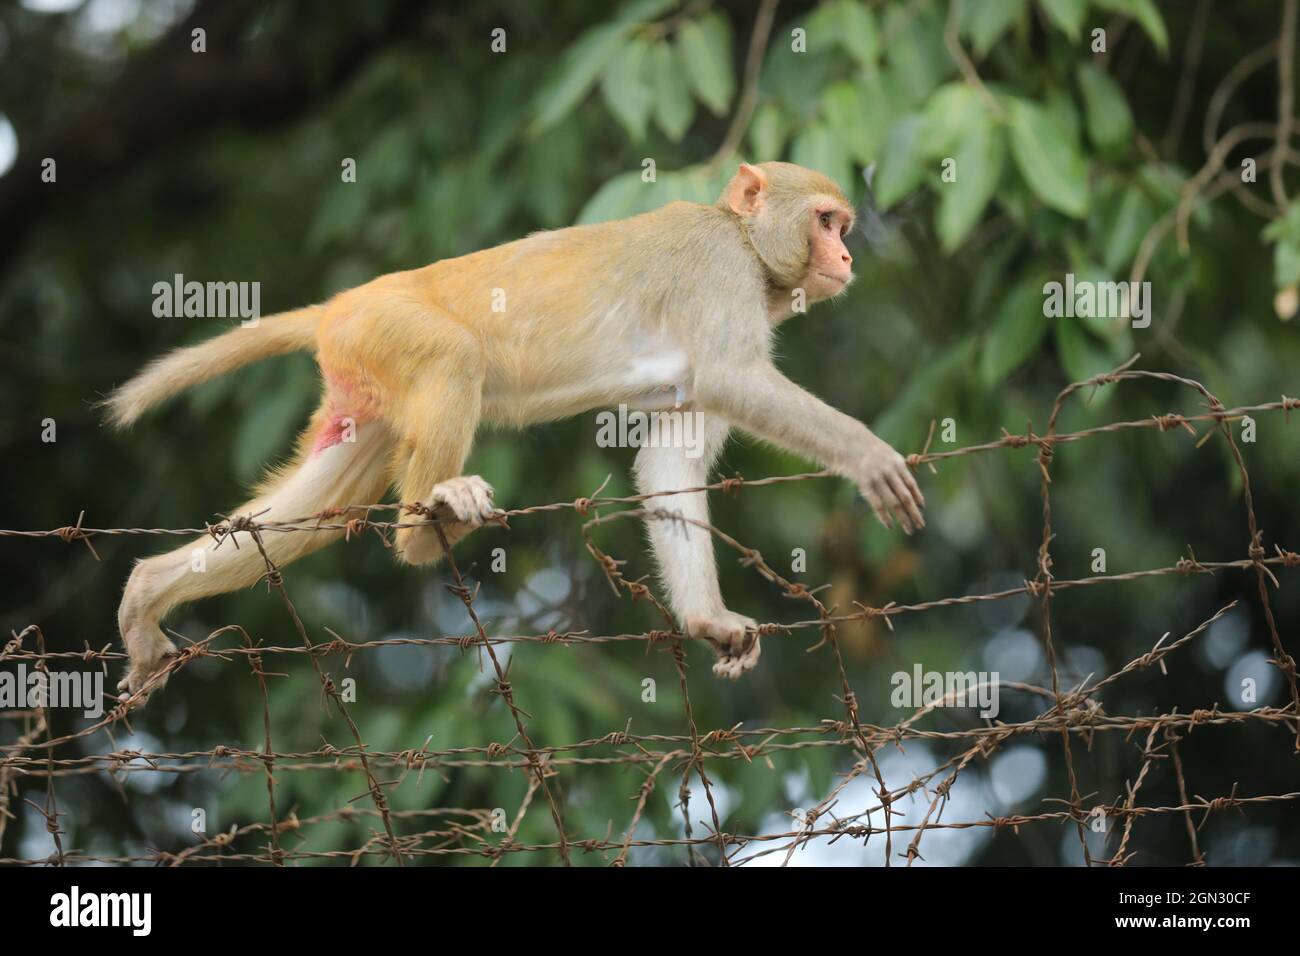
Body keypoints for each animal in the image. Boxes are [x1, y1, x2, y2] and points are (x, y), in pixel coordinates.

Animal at [104, 161, 925, 702]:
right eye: (826, 221)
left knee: (325, 506)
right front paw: (869, 456)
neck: (743, 240)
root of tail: (338, 305)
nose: (846, 254)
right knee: (452, 359)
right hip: (387, 328)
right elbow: (731, 377)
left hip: (362, 379)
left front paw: (707, 618)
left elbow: (672, 458)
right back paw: (422, 531)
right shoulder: (718, 275)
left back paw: (148, 594)